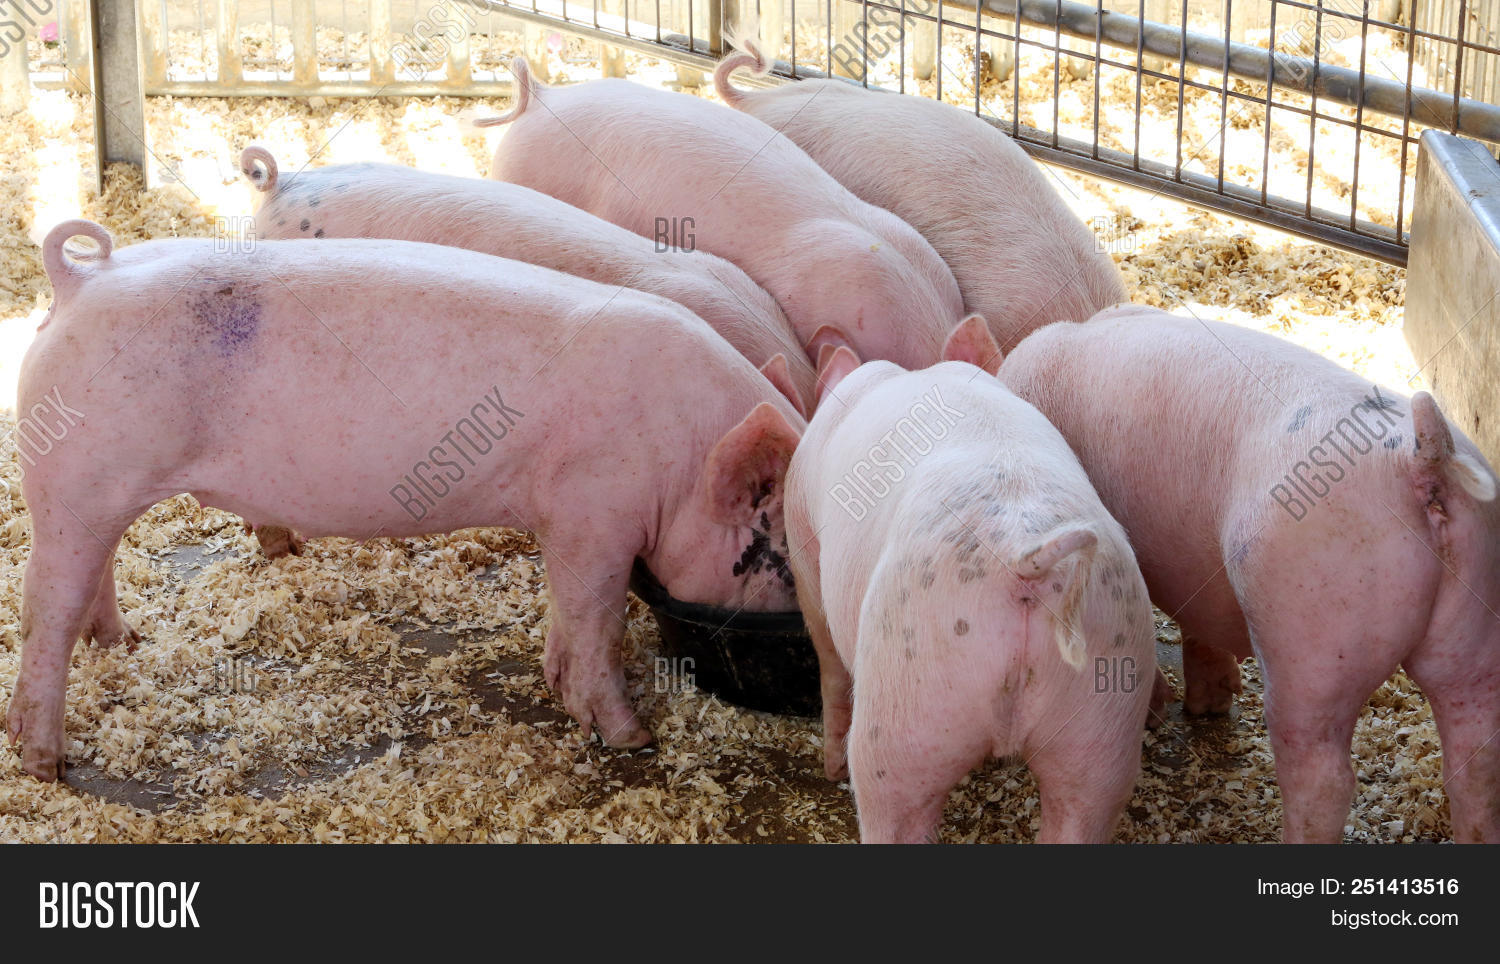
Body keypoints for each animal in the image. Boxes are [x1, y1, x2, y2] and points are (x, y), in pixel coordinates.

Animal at [6, 219, 805, 781]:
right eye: (783, 558)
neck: (688, 456)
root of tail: (78, 280)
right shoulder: (595, 515)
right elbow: (597, 626)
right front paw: (634, 737)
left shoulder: (565, 525)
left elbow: (567, 617)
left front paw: (561, 688)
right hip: (76, 472)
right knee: (45, 602)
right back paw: (46, 764)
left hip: (97, 490)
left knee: (96, 571)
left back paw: (122, 643)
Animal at [784, 317, 1154, 843]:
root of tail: (1025, 558)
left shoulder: (802, 541)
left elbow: (828, 658)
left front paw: (829, 768)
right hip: (1109, 700)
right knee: (1082, 806)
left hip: (906, 695)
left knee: (889, 798)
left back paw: (844, 771)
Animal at [1000, 304, 1500, 842]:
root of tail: (1425, 459)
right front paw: (1210, 705)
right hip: (1475, 616)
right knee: (1476, 759)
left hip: (1308, 635)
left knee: (1322, 777)